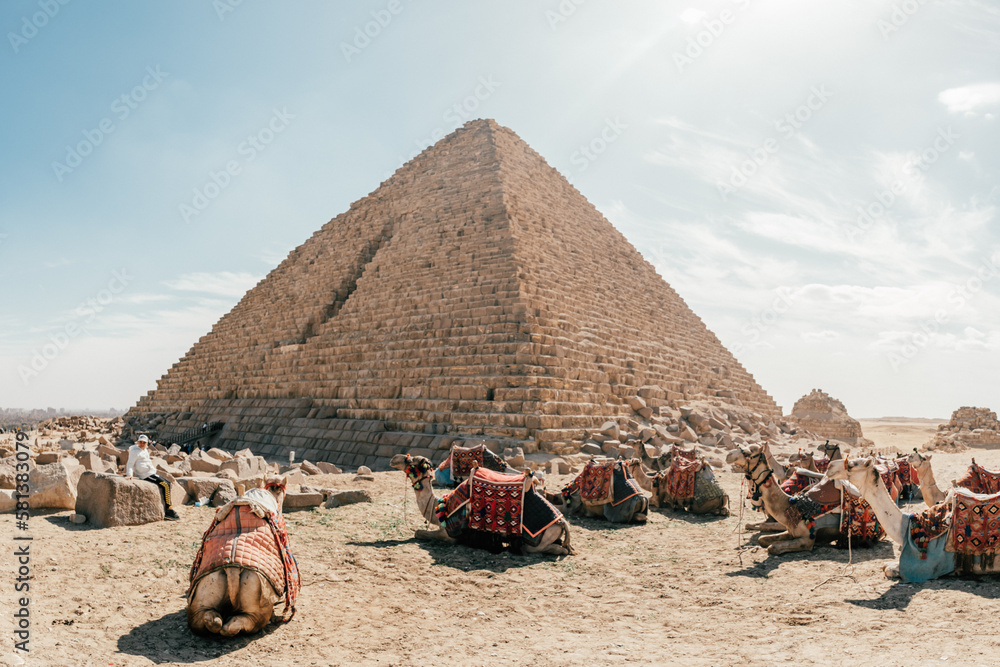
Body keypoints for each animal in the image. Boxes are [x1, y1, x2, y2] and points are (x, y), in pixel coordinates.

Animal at [187, 475, 297, 636]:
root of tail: (232, 569)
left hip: (204, 590)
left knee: (204, 619)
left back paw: (214, 621)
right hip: (258, 601)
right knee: (248, 622)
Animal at [390, 454, 573, 556]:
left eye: (411, 461)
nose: (394, 459)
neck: (440, 508)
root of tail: (562, 521)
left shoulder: (450, 534)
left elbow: (418, 533)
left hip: (540, 538)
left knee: (545, 549)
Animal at [827, 457, 1000, 581]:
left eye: (852, 464)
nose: (829, 467)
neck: (907, 525)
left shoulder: (928, 564)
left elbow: (889, 569)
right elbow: (885, 565)